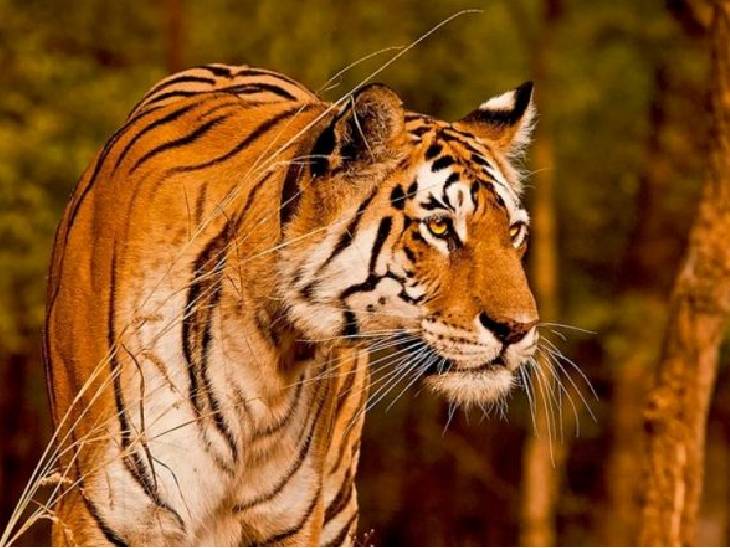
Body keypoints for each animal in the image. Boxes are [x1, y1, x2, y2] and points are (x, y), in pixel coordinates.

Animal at [44, 62, 539, 546]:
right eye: (438, 227)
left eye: (514, 231)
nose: (520, 328)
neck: (263, 351)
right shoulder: (104, 517)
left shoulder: (291, 522)